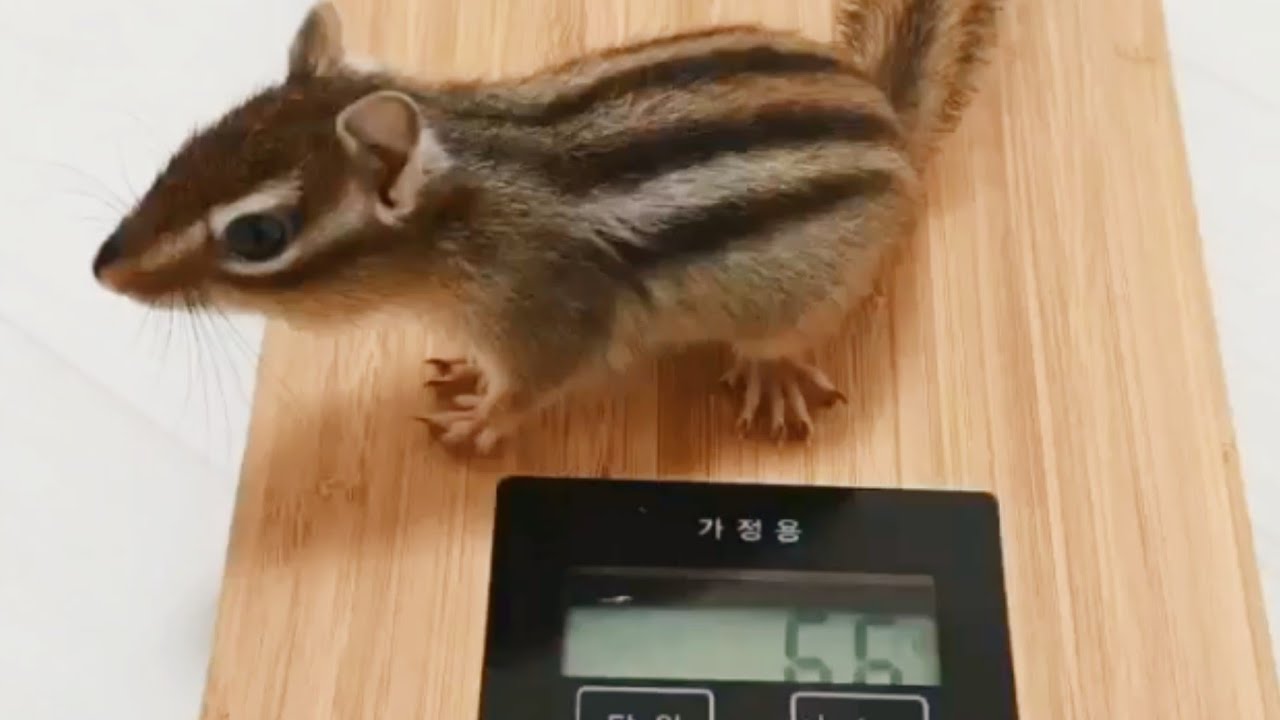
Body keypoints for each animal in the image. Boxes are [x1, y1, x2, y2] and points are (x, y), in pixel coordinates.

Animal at [92, 0, 1001, 454]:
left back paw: (771, 372)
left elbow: (529, 390)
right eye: (197, 142)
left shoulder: (550, 324)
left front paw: (480, 422)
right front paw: (466, 373)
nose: (103, 267)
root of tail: (884, 115)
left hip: (811, 295)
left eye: (257, 237)